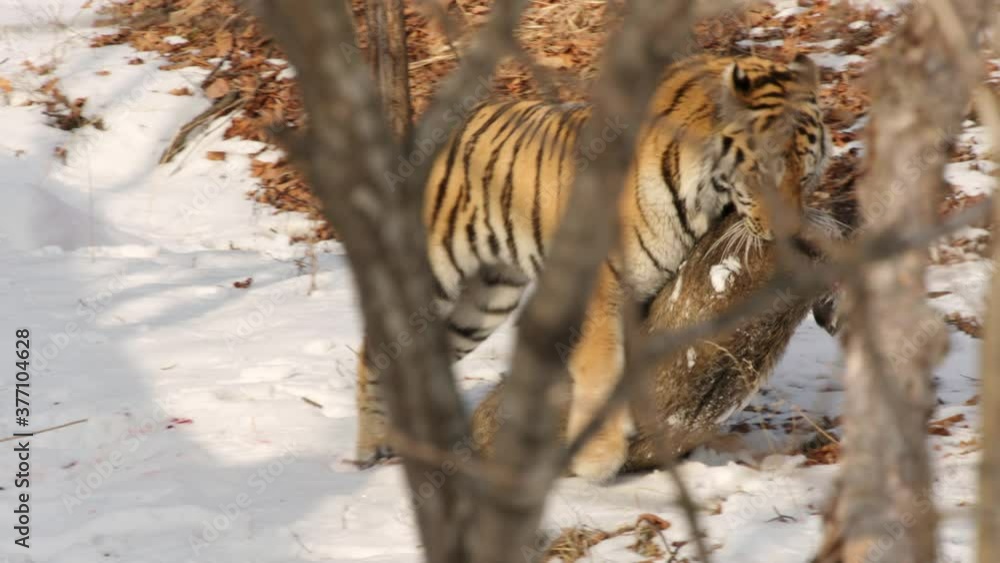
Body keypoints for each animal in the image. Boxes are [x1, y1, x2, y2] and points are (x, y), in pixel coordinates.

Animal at [355, 53, 830, 481]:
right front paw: (597, 458)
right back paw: (370, 446)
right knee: (374, 348)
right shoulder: (602, 287)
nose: (789, 233)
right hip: (432, 271)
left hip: (483, 303)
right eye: (762, 175)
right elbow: (601, 367)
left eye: (806, 176)